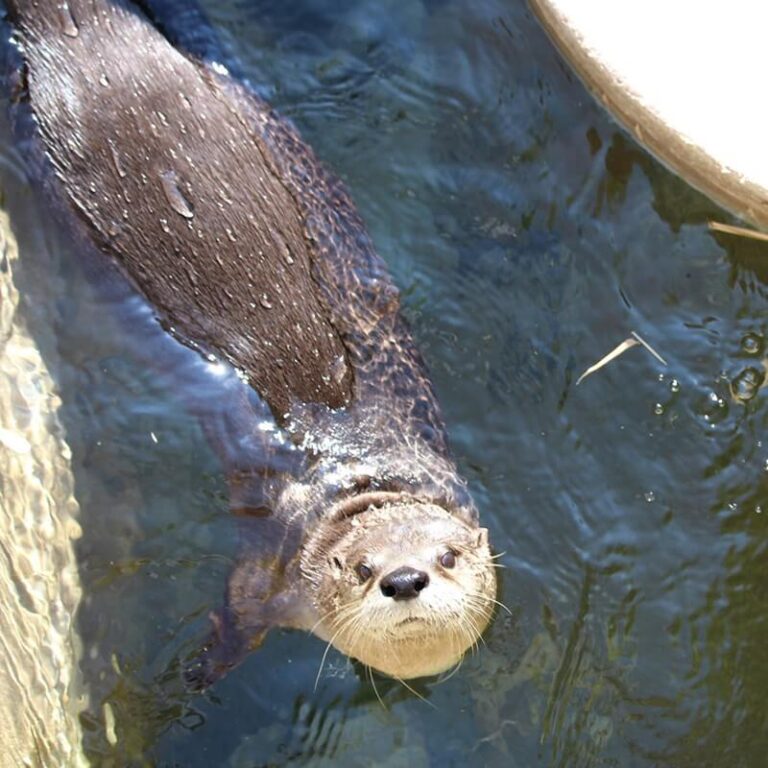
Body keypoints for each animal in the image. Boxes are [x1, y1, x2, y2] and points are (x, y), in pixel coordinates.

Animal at [4, 0, 498, 687]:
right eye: (364, 567)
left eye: (447, 555)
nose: (405, 579)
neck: (362, 479)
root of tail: (89, 31)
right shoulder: (271, 564)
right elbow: (239, 612)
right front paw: (197, 672)